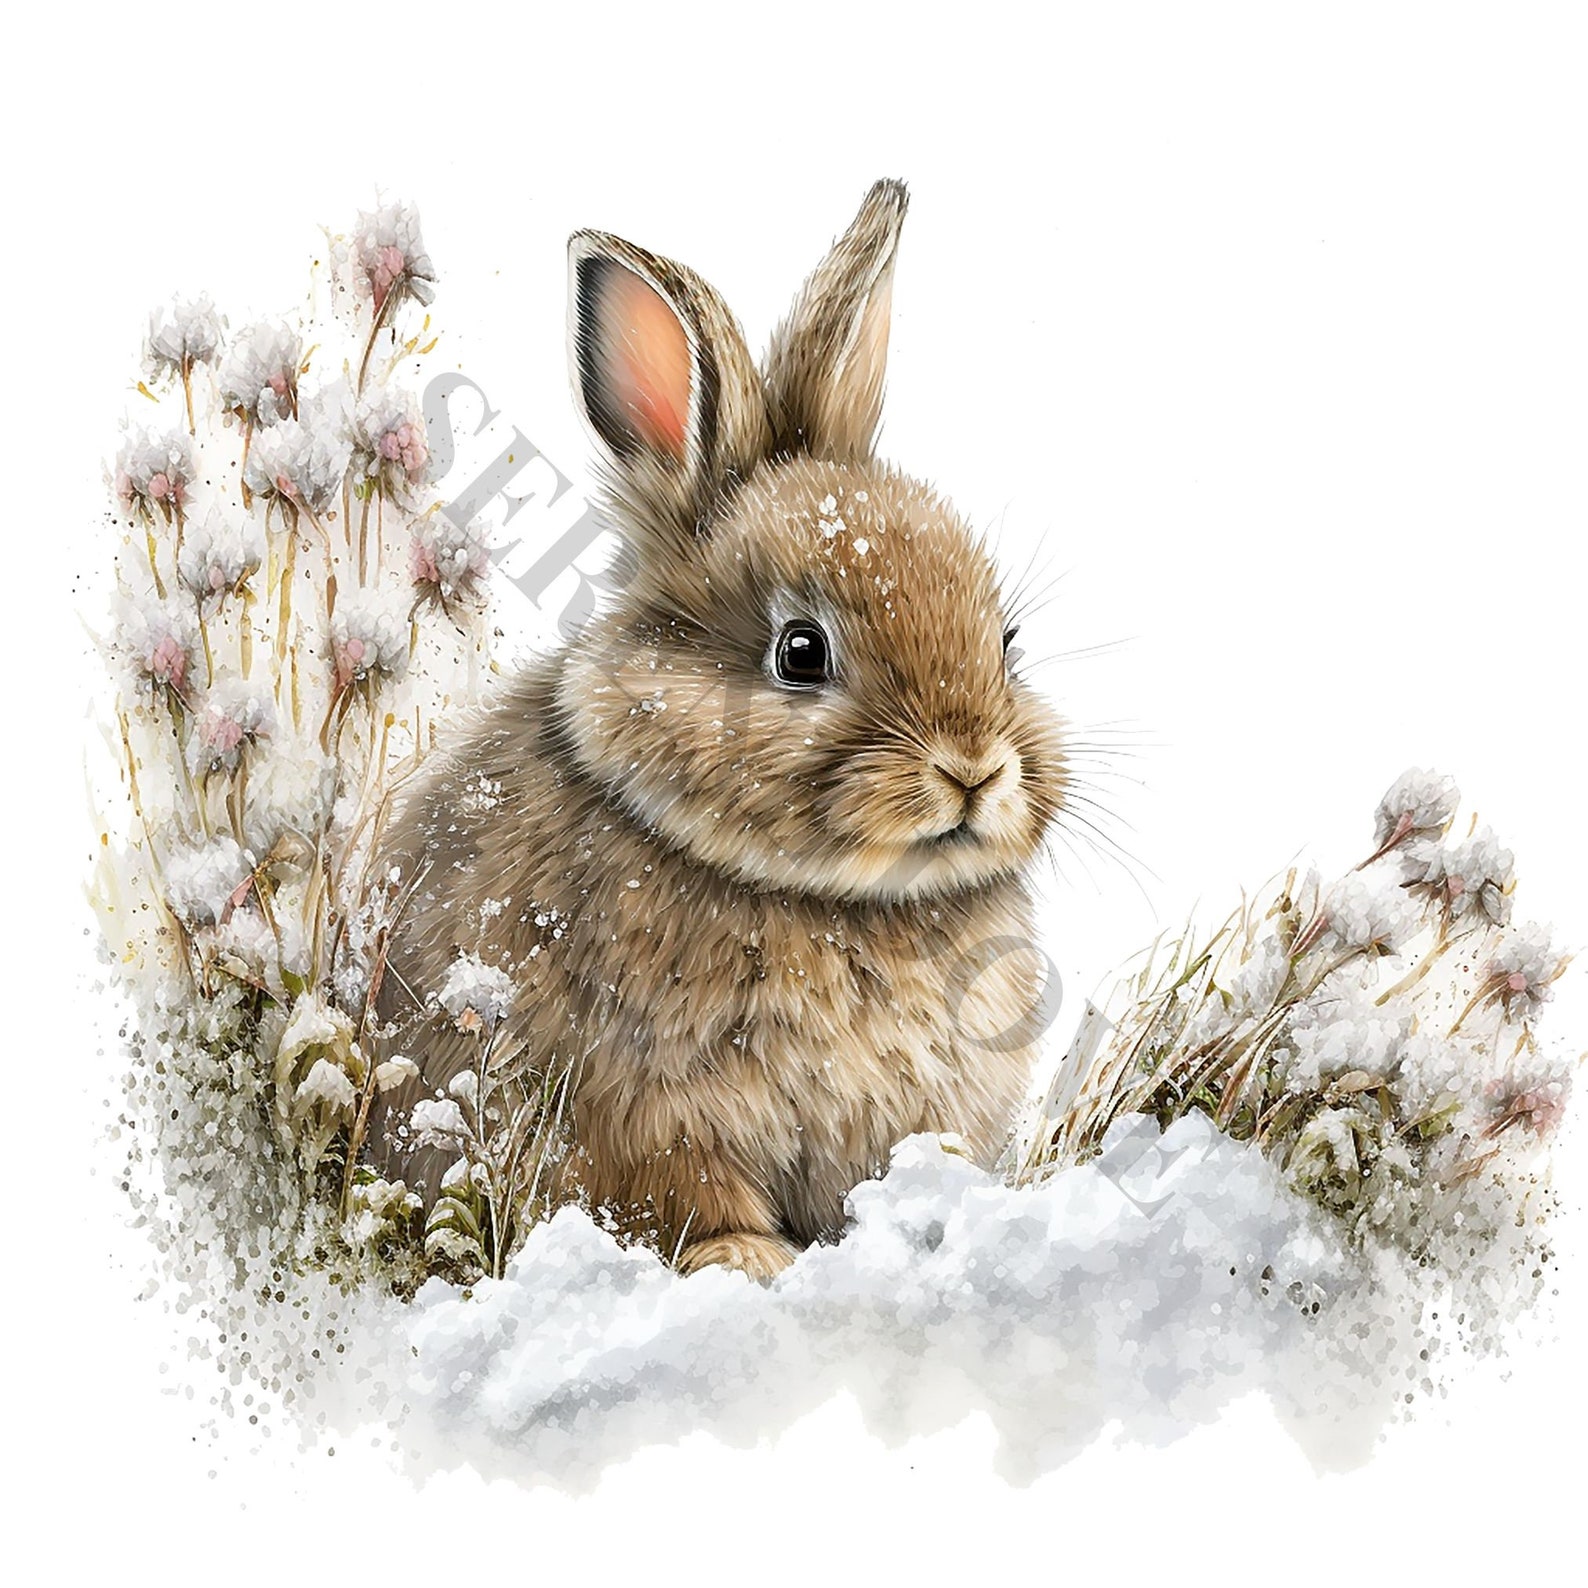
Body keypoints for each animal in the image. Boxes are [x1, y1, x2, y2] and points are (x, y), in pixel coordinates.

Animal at [368, 180, 1069, 1280]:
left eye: (1007, 642)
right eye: (800, 652)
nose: (973, 770)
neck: (826, 898)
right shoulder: (639, 1114)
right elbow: (688, 1200)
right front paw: (751, 1262)